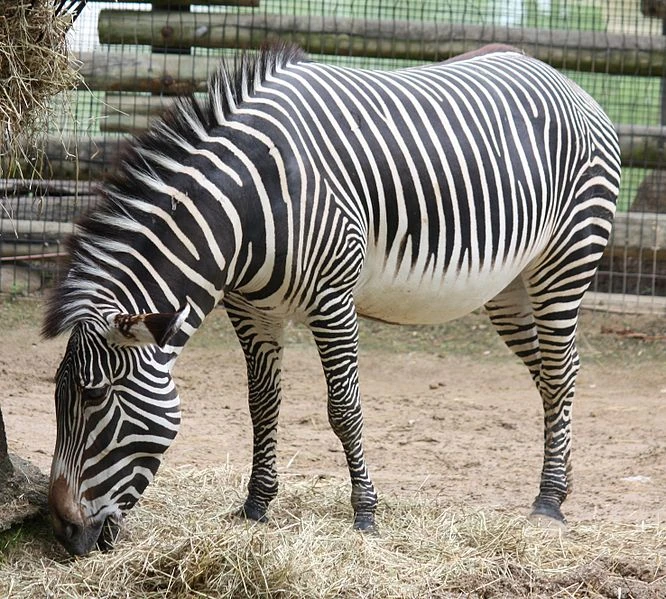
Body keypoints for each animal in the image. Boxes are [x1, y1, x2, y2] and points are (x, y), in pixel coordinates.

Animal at [43, 43, 620, 556]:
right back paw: (562, 482)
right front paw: (255, 508)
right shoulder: (250, 308)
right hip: (508, 288)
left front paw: (365, 514)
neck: (250, 206)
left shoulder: (333, 300)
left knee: (561, 373)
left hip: (566, 259)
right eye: (58, 395)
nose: (63, 533)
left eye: (94, 397)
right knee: (552, 376)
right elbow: (262, 405)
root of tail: (568, 83)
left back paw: (548, 503)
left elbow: (344, 409)